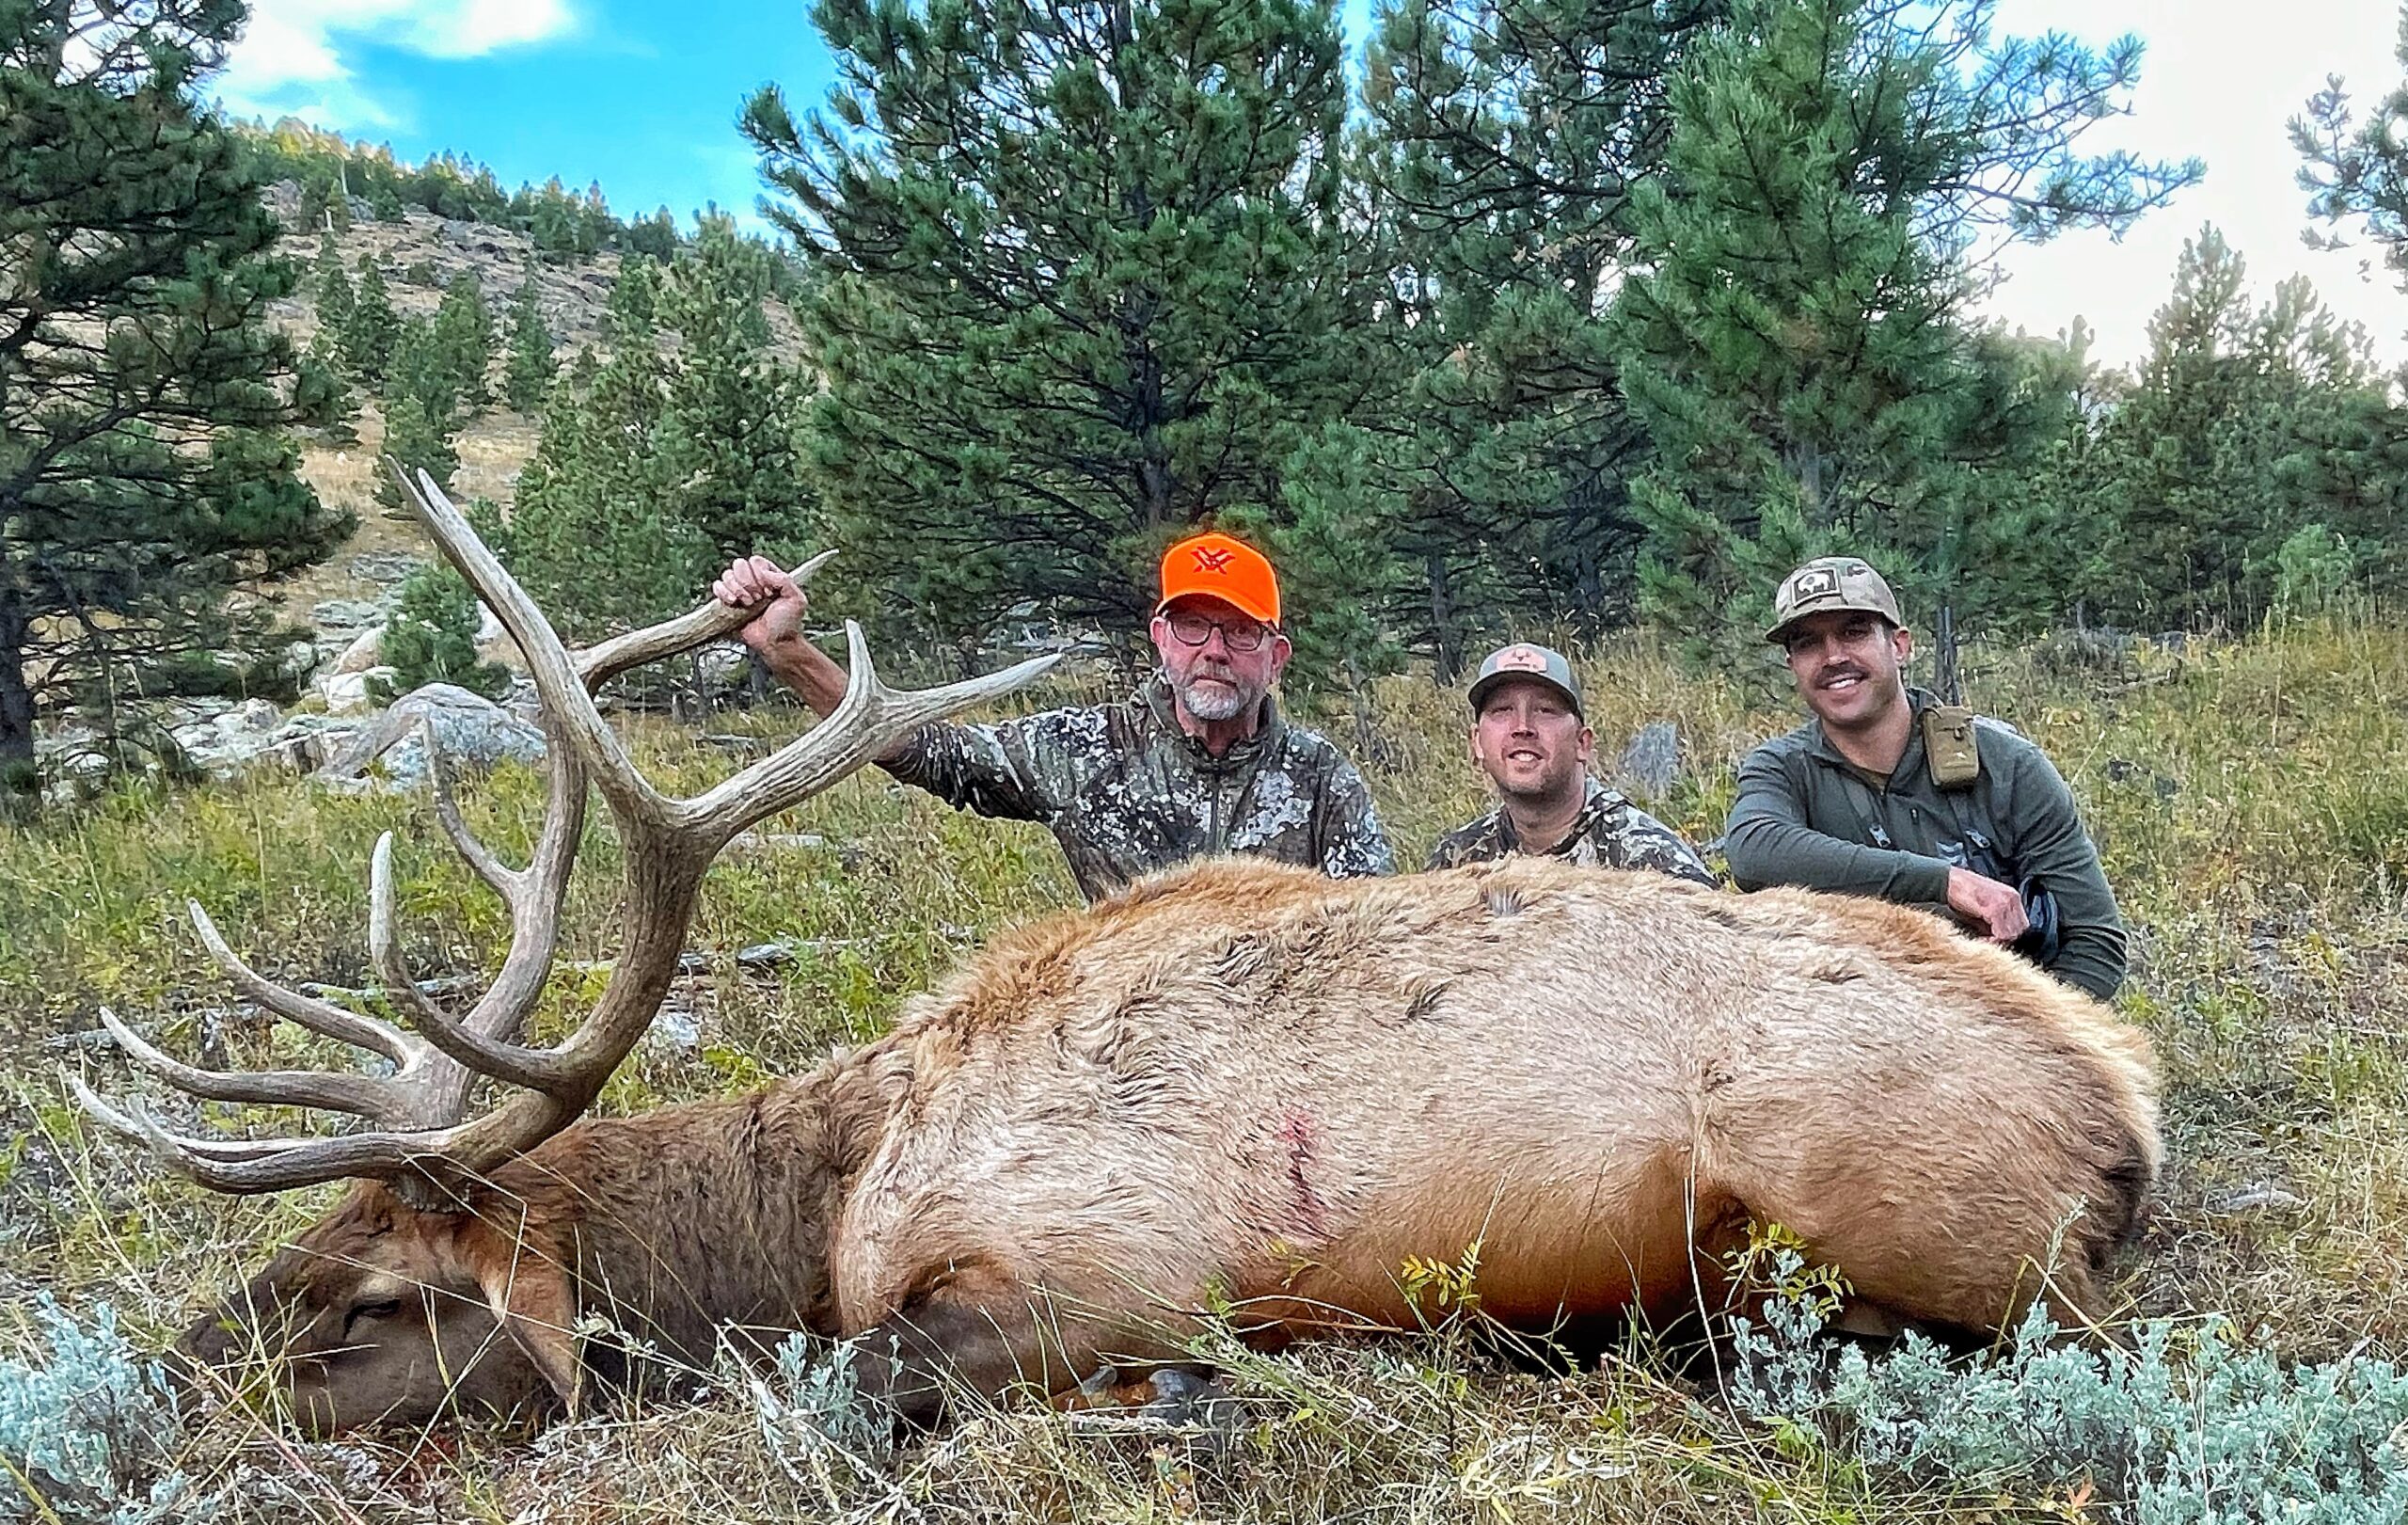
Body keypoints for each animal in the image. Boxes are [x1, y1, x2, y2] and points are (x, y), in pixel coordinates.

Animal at [75, 471, 2163, 1436]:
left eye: (366, 1300)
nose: (152, 1385)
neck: (822, 1199)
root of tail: (2122, 1110)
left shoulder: (1116, 1270)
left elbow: (866, 1379)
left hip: (1858, 1203)